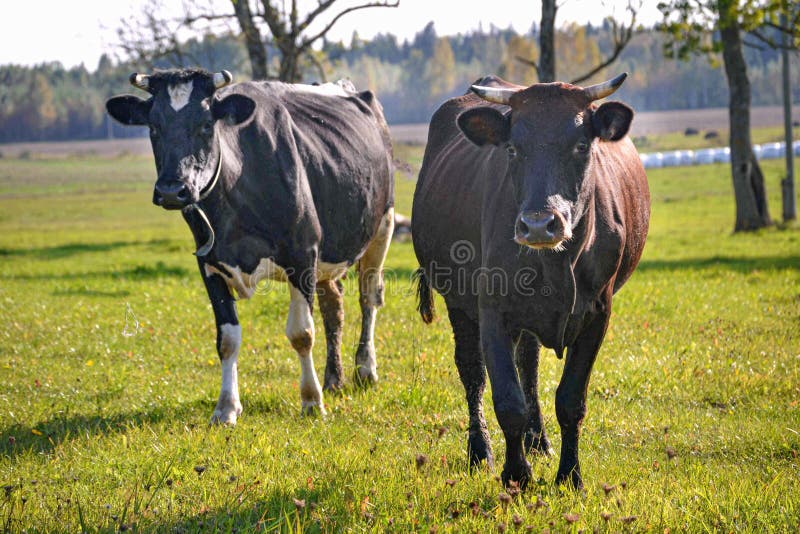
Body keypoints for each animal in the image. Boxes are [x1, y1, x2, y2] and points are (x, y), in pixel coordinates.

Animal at [106, 68, 394, 423]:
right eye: (153, 126)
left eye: (206, 125)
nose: (173, 190)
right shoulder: (209, 263)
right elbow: (227, 339)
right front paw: (226, 407)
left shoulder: (303, 254)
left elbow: (302, 333)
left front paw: (311, 401)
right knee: (334, 306)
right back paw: (333, 379)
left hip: (382, 226)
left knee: (369, 297)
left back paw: (365, 369)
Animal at [412, 73, 649, 489]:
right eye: (512, 149)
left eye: (581, 145)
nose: (539, 224)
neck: (556, 264)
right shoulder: (492, 309)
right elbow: (507, 399)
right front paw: (515, 474)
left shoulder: (598, 314)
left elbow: (570, 400)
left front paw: (570, 476)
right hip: (459, 302)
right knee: (473, 373)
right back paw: (481, 451)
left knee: (530, 365)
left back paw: (538, 441)